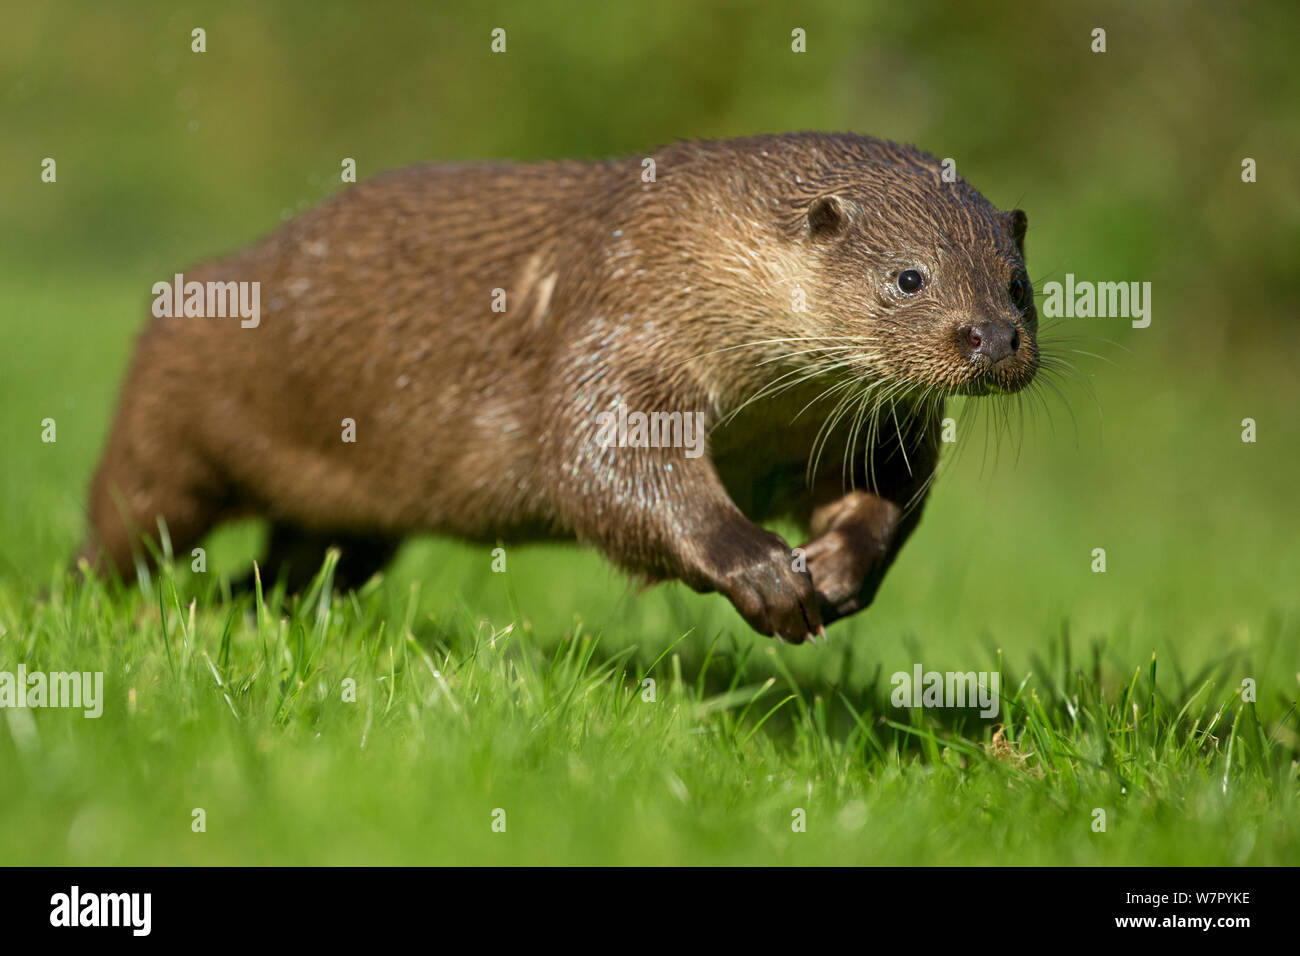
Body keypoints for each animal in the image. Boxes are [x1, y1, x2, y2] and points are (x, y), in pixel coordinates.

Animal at [82, 132, 1038, 644]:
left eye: (1018, 282)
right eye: (909, 277)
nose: (993, 337)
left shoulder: (878, 429)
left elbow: (884, 502)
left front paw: (839, 569)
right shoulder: (621, 330)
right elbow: (601, 468)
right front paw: (759, 568)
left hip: (351, 527)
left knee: (293, 567)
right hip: (165, 414)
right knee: (123, 522)